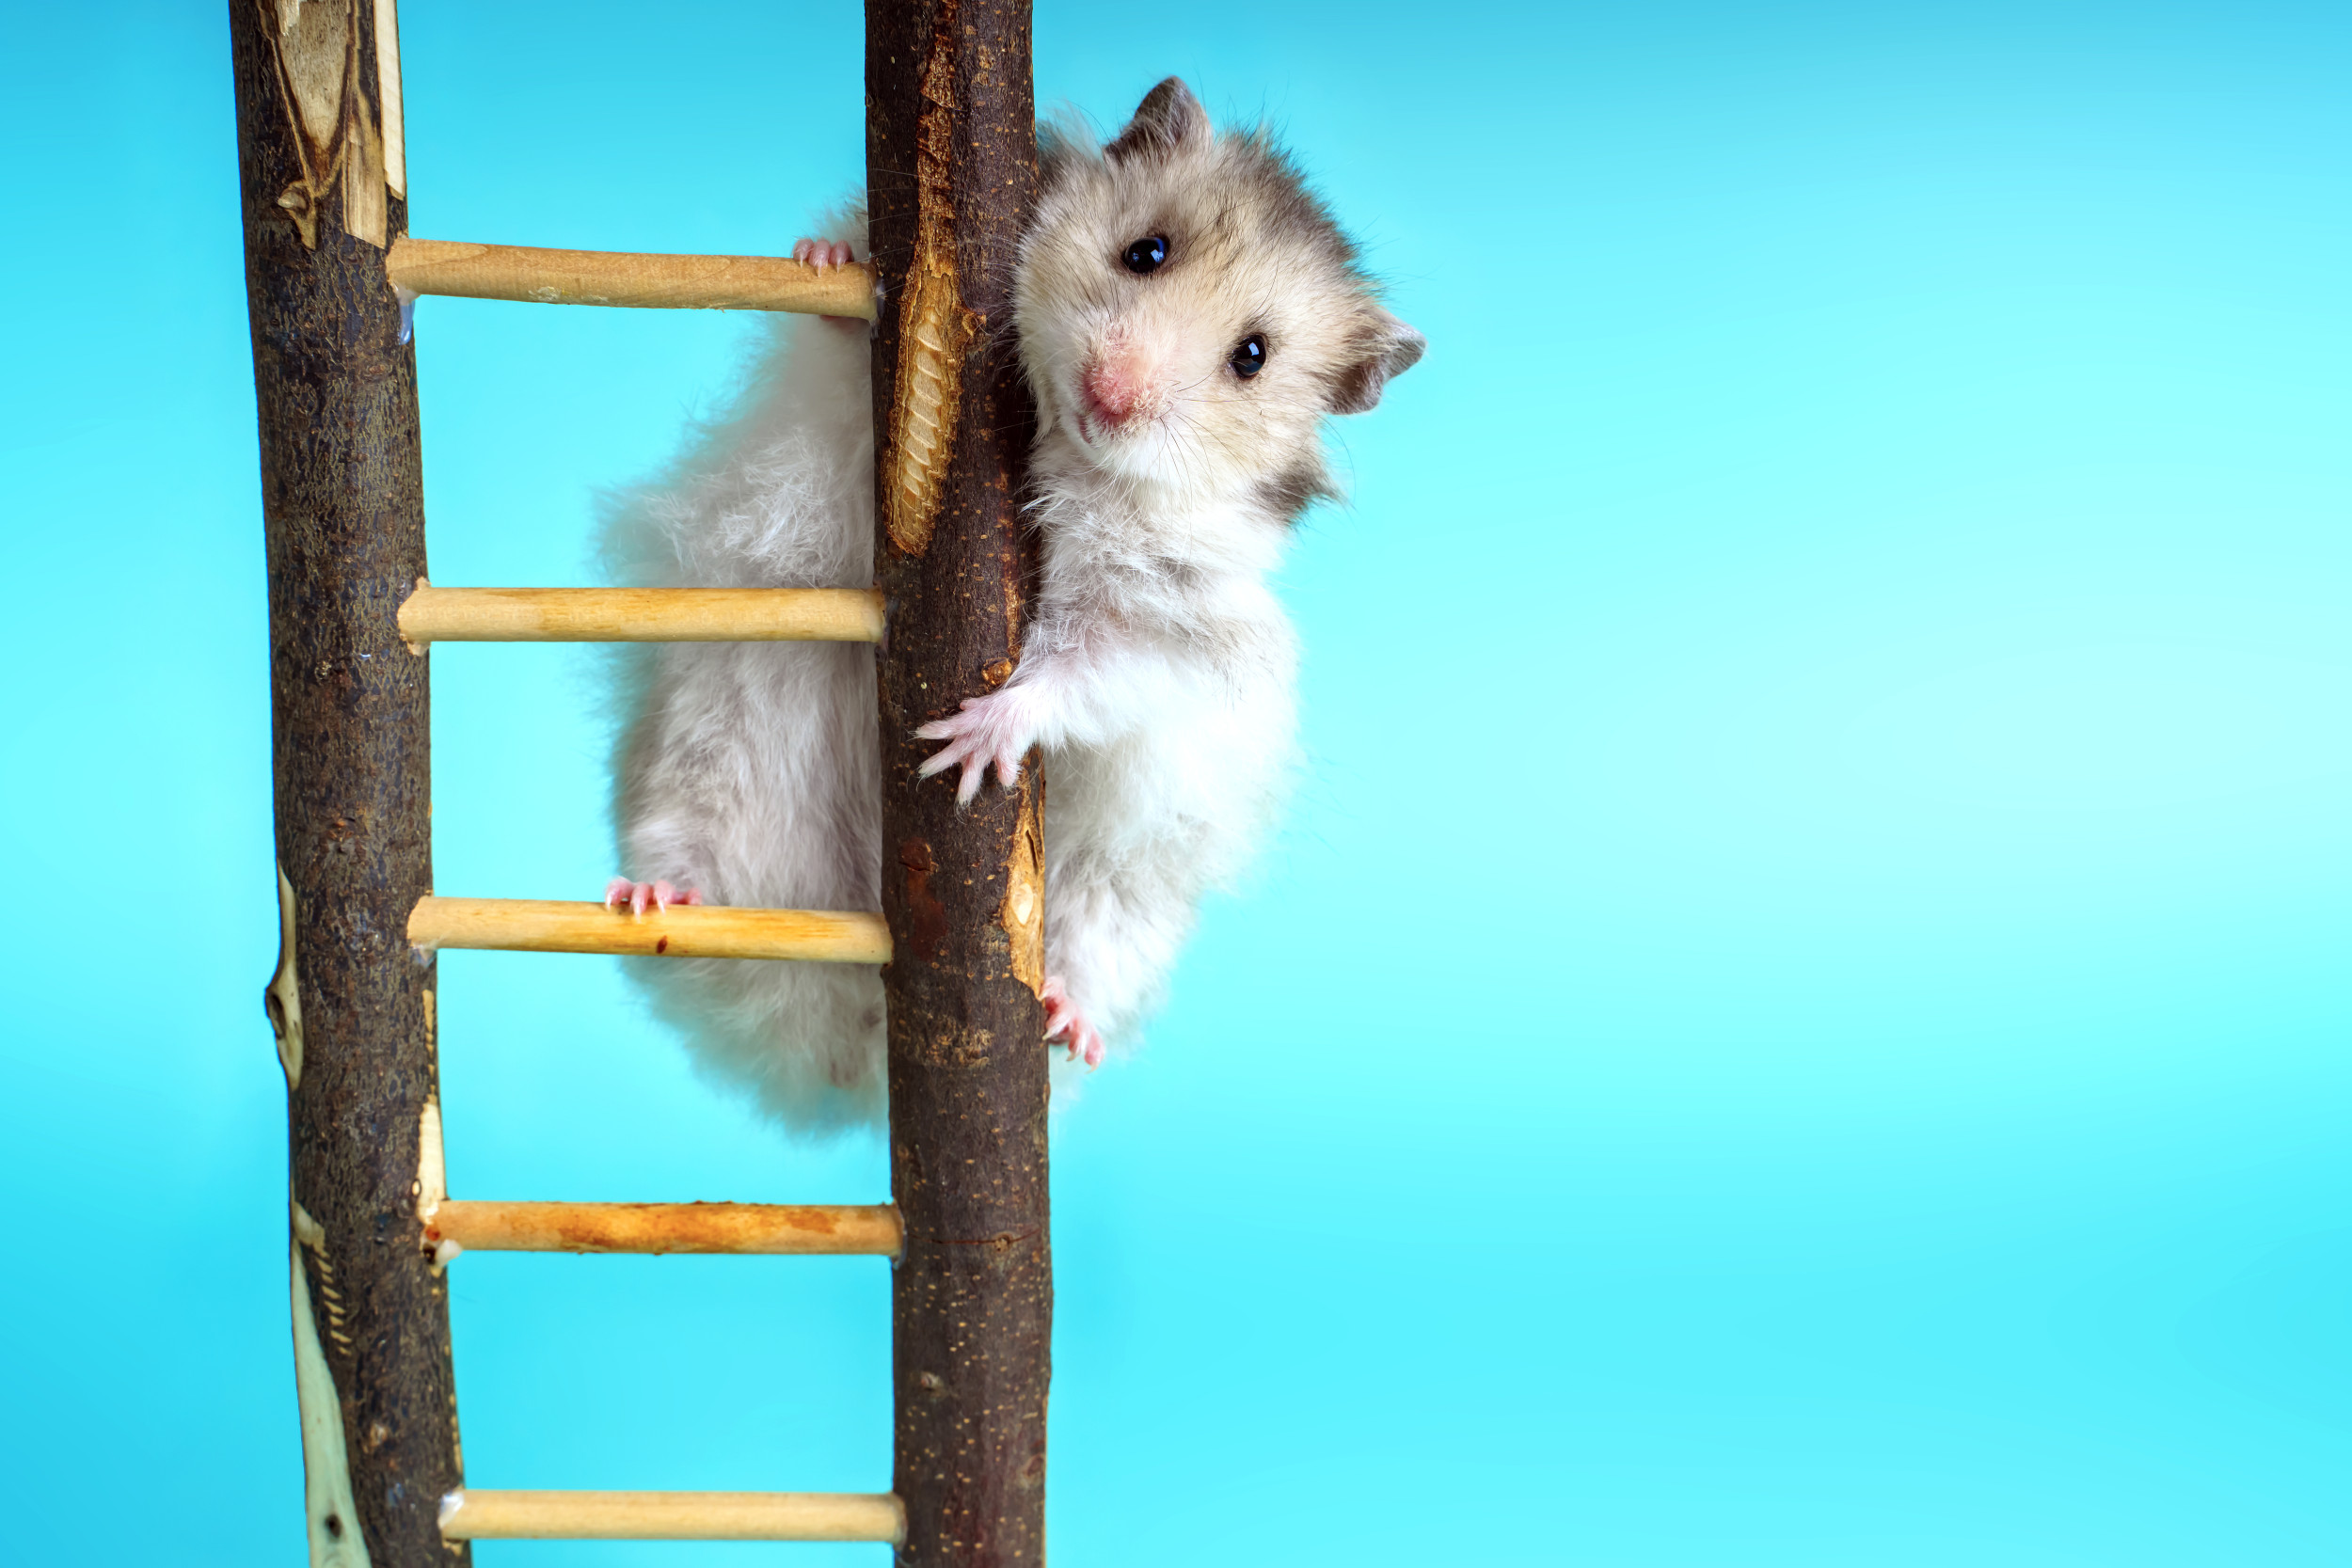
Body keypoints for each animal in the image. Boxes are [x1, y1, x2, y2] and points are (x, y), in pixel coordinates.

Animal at [603, 78, 1422, 1131]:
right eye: (1145, 250)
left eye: (1252, 356)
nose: (1110, 396)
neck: (1062, 450)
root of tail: (854, 1056)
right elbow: (845, 337)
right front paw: (830, 259)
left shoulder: (1166, 621)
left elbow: (1085, 674)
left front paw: (966, 742)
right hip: (714, 761)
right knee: (696, 888)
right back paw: (651, 899)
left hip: (1125, 890)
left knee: (1094, 949)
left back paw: (1069, 1016)